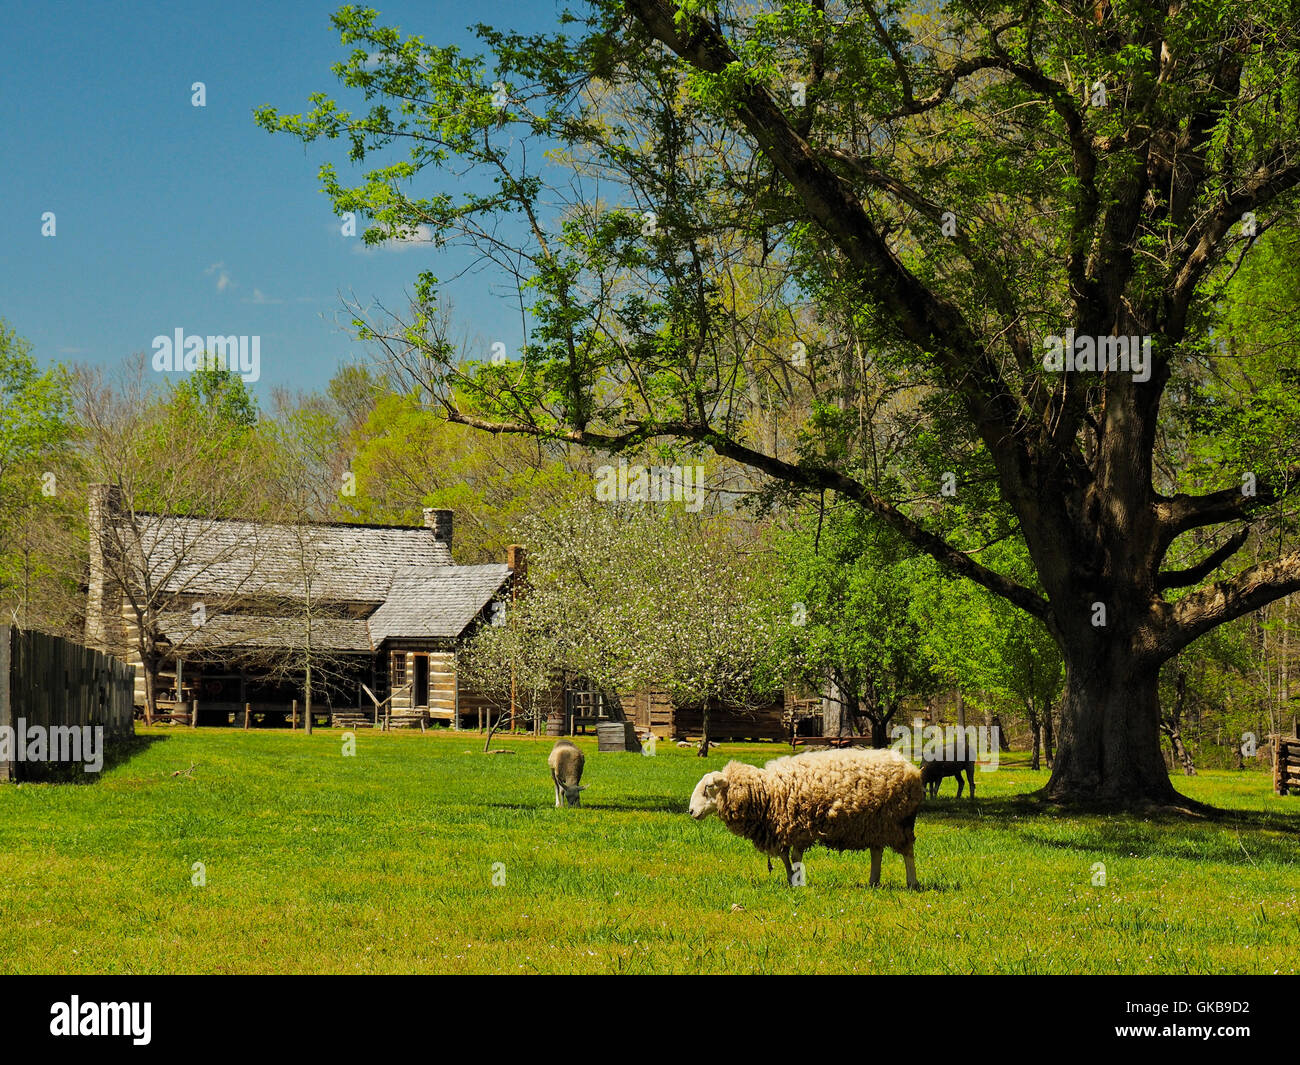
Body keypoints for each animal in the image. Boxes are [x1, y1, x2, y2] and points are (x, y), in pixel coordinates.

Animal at [688, 747, 923, 888]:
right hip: (875, 823)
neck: (767, 791)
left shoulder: (799, 827)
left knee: (908, 852)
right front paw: (790, 879)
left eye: (709, 787)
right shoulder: (781, 829)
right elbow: (785, 858)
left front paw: (798, 881)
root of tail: (911, 767)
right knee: (877, 851)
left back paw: (911, 882)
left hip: (898, 821)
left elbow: (794, 857)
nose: (690, 811)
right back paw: (873, 881)